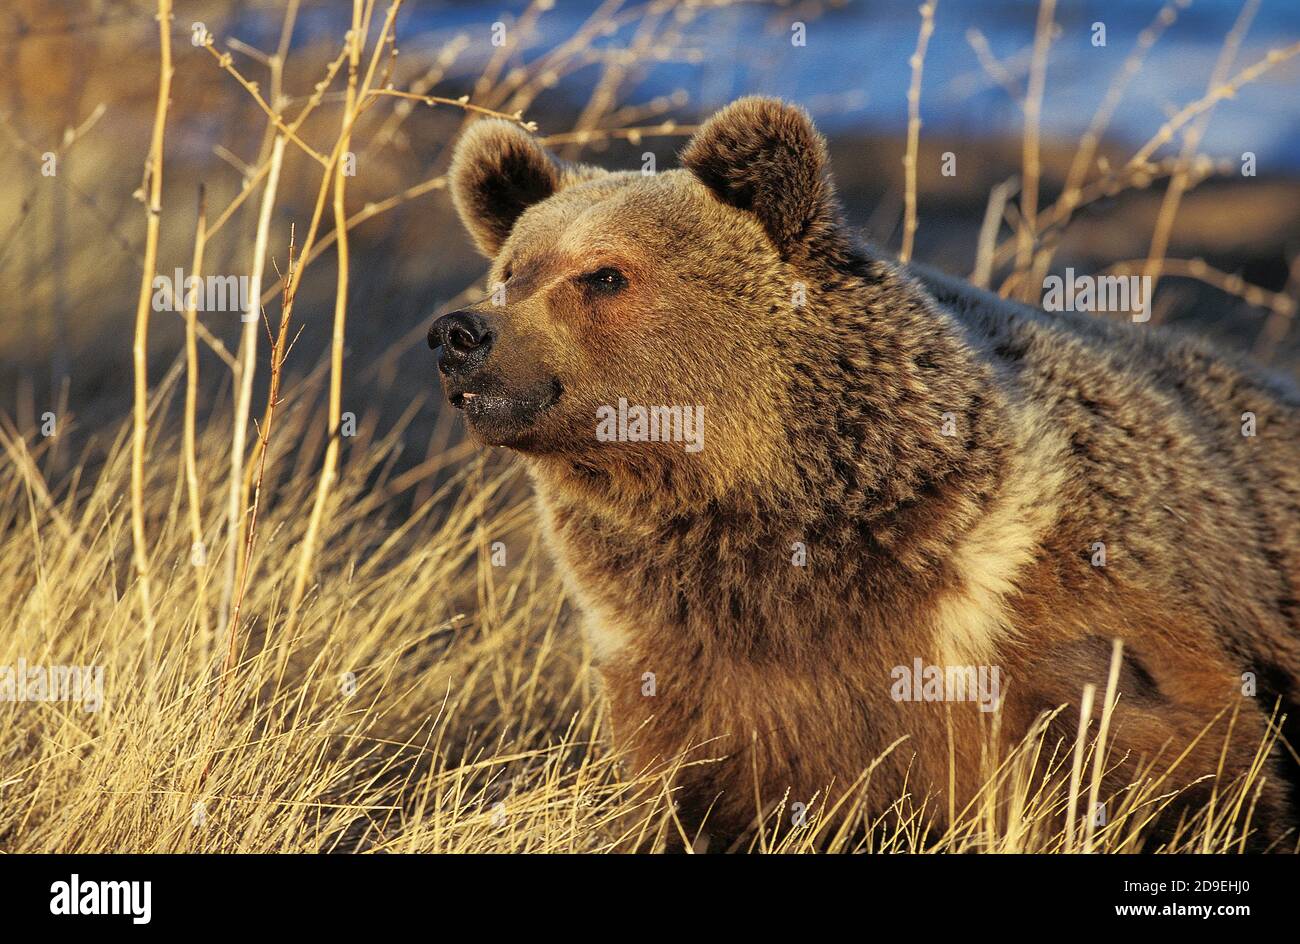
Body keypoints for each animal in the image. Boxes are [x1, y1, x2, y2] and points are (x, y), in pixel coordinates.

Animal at [433, 96, 1300, 850]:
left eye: (603, 274)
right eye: (511, 271)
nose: (460, 333)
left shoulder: (1058, 626)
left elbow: (1173, 770)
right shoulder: (685, 664)